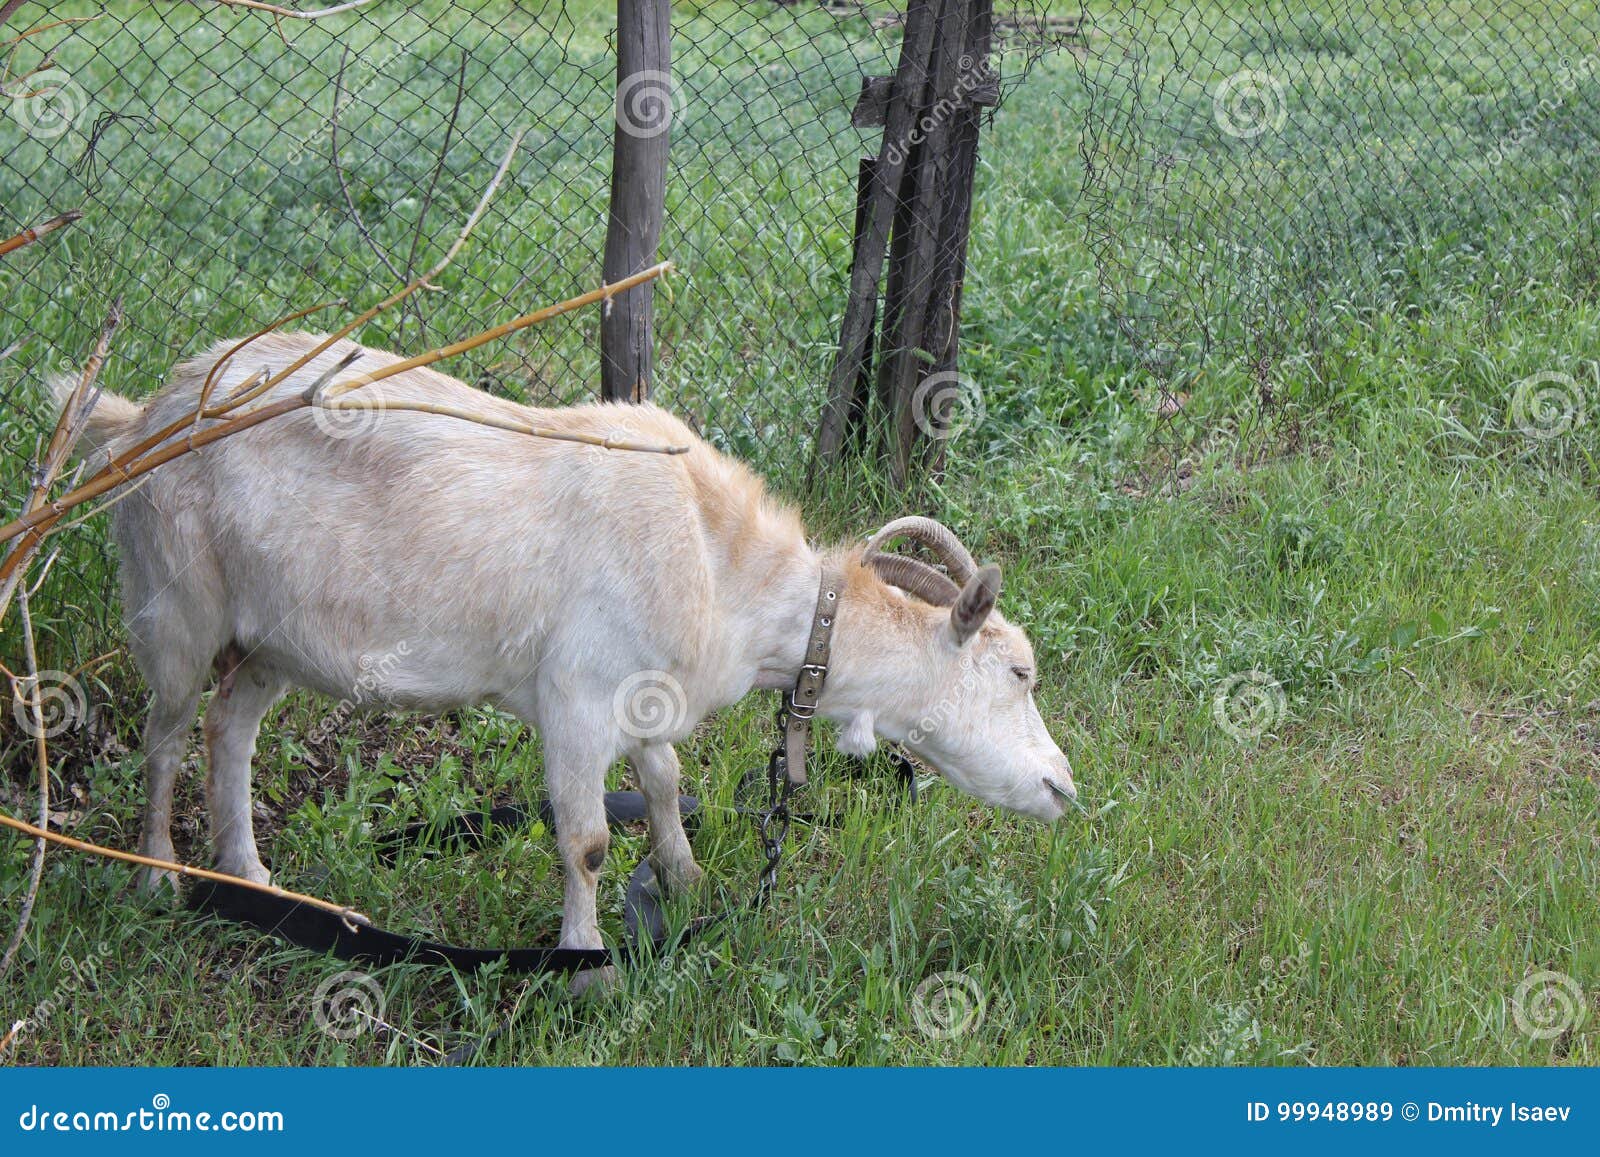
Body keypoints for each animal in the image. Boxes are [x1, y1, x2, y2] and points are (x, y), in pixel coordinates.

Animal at [56, 332, 1077, 983]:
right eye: (1019, 671)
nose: (1065, 788)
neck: (719, 564)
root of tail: (144, 411)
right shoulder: (578, 696)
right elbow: (584, 839)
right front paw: (586, 965)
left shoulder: (646, 694)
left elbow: (664, 780)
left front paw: (684, 883)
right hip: (175, 601)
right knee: (166, 735)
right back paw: (159, 875)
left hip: (273, 636)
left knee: (230, 726)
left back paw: (250, 875)